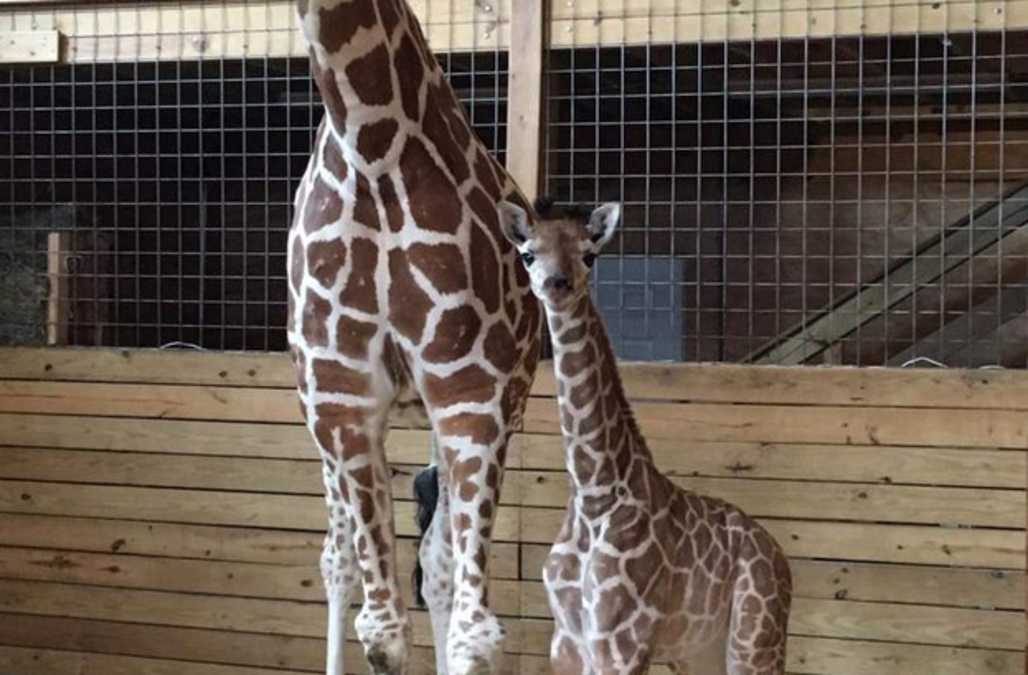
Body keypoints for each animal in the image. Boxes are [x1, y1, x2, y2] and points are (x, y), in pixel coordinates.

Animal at [286, 2, 541, 674]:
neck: (371, 144)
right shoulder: (340, 396)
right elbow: (381, 633)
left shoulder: (472, 395)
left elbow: (470, 625)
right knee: (338, 560)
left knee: (440, 567)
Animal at [497, 197, 792, 675]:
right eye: (527, 254)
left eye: (589, 255)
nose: (557, 284)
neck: (594, 494)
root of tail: (779, 555)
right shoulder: (567, 643)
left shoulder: (622, 642)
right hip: (698, 651)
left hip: (755, 637)